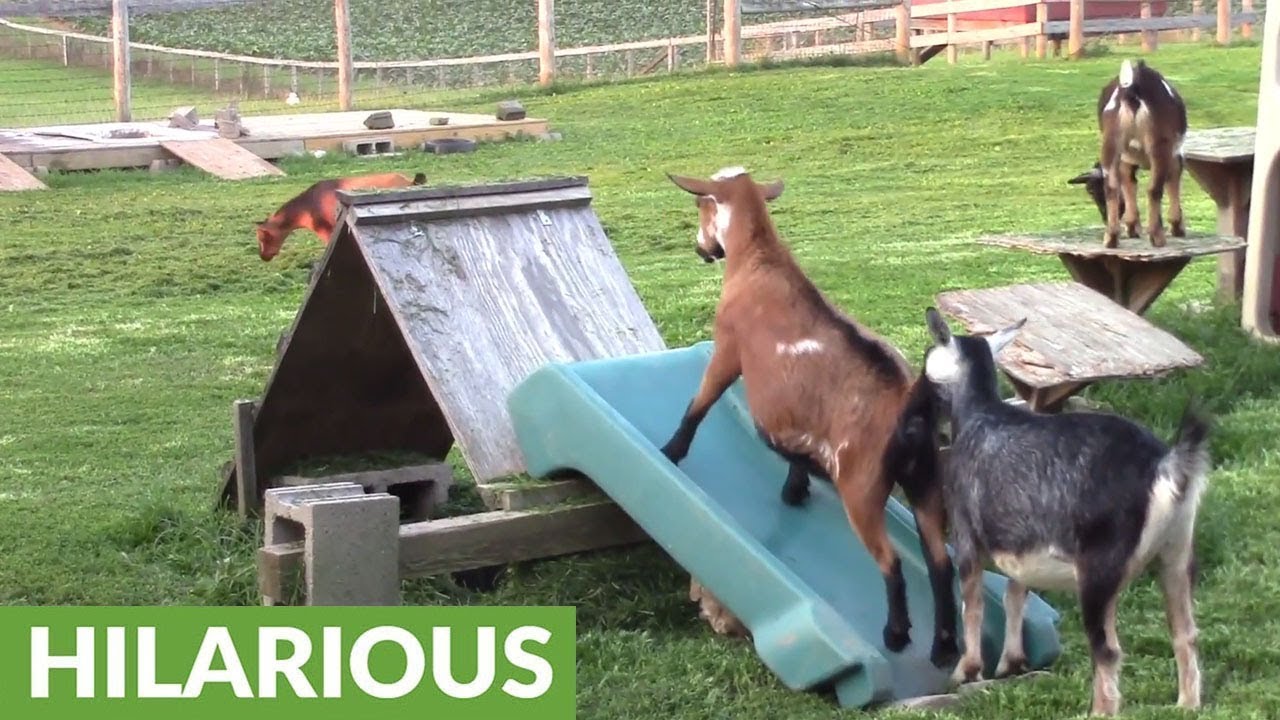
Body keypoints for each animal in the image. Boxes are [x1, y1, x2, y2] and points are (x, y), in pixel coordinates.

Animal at [659, 166, 959, 666]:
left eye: (701, 204)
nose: (703, 250)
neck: (759, 259)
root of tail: (907, 399)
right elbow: (793, 448)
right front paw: (794, 489)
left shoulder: (728, 347)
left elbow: (700, 403)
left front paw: (671, 450)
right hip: (926, 480)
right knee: (941, 562)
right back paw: (944, 647)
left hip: (862, 486)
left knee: (892, 561)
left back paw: (896, 635)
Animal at [921, 307, 1211, 716]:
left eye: (928, 357)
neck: (980, 414)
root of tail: (1166, 465)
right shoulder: (1022, 541)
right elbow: (1015, 594)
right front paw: (1011, 662)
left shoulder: (965, 533)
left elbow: (972, 602)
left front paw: (967, 670)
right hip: (1177, 552)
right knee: (1185, 633)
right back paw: (1186, 704)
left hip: (1099, 569)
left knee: (1107, 649)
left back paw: (1100, 711)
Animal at [1096, 58, 1188, 248]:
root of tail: (1132, 90)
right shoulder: (1176, 156)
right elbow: (1173, 184)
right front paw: (1177, 227)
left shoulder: (1126, 161)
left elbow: (1129, 186)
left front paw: (1132, 227)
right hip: (1160, 148)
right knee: (1154, 189)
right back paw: (1157, 236)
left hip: (1111, 146)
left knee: (1111, 188)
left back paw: (1111, 237)